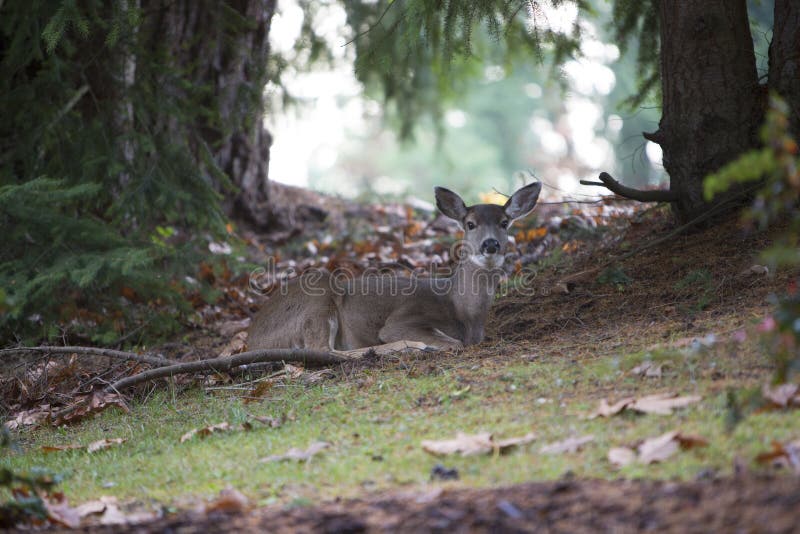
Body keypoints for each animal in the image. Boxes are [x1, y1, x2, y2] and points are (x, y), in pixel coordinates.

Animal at [247, 182, 542, 352]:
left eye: (505, 222)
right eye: (470, 224)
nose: (490, 244)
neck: (465, 314)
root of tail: (254, 336)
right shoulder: (402, 319)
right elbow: (453, 343)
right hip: (316, 300)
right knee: (324, 350)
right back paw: (408, 347)